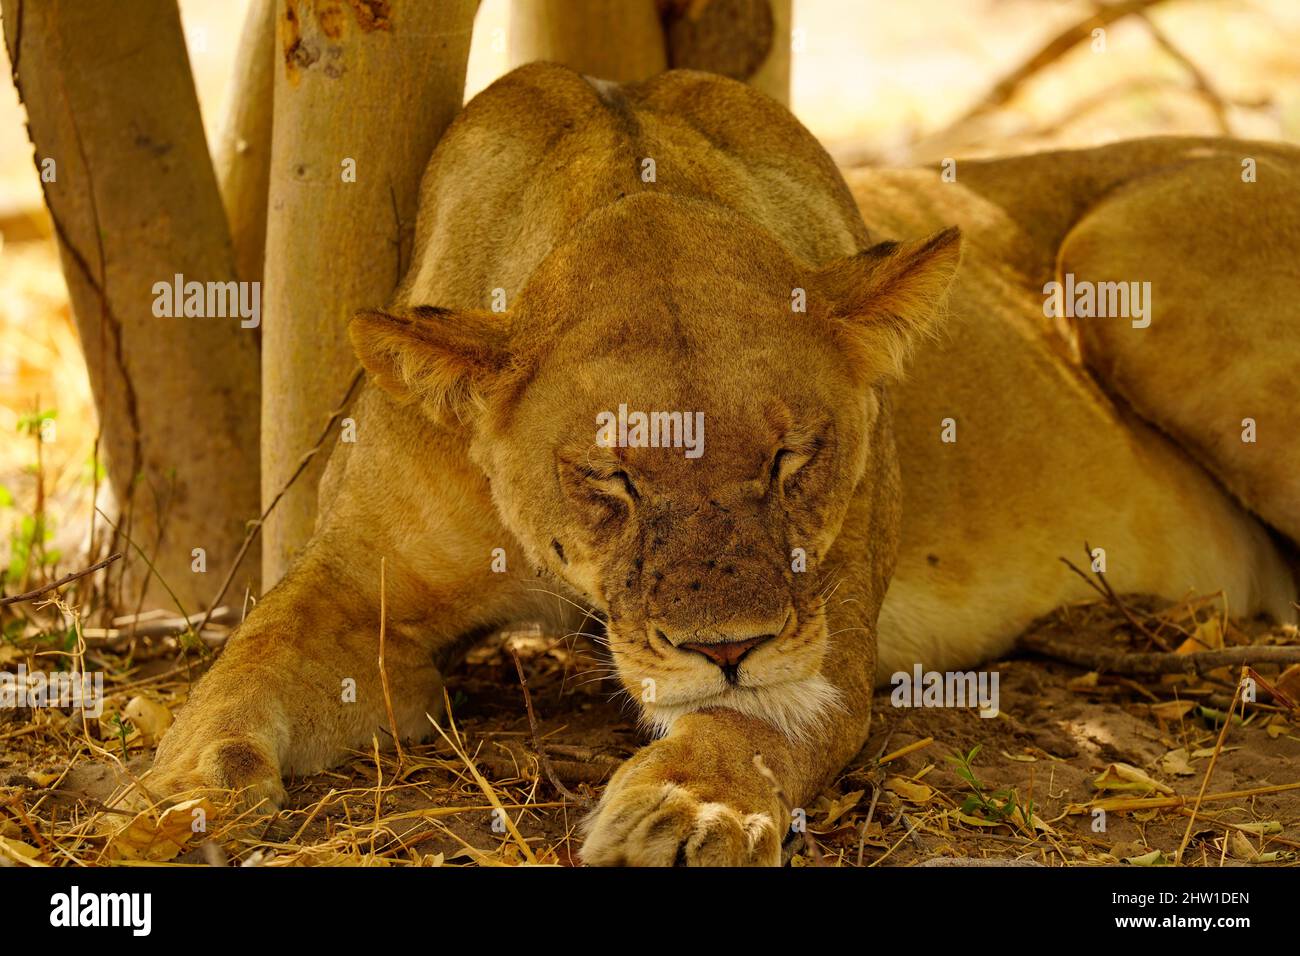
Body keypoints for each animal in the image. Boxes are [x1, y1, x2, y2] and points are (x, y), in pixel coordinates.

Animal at [145, 63, 1300, 866]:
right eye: (611, 477)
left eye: (792, 458)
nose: (727, 646)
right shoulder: (359, 588)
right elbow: (246, 663)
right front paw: (170, 800)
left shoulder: (826, 627)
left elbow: (744, 721)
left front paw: (684, 804)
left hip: (1124, 248)